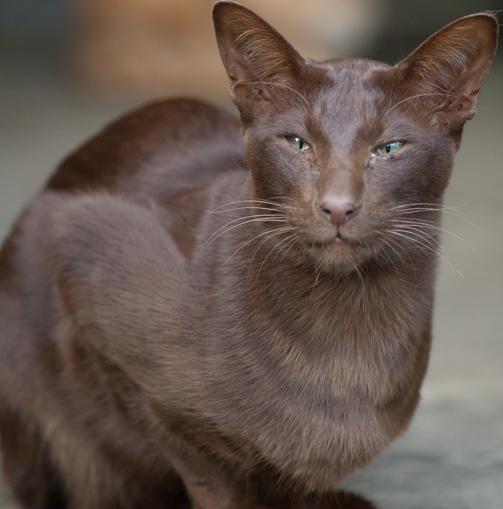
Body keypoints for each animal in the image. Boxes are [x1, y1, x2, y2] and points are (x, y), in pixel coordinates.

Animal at [0, 2, 498, 508]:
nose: (337, 206)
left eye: (389, 148)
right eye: (297, 143)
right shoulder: (81, 253)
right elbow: (200, 463)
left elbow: (293, 476)